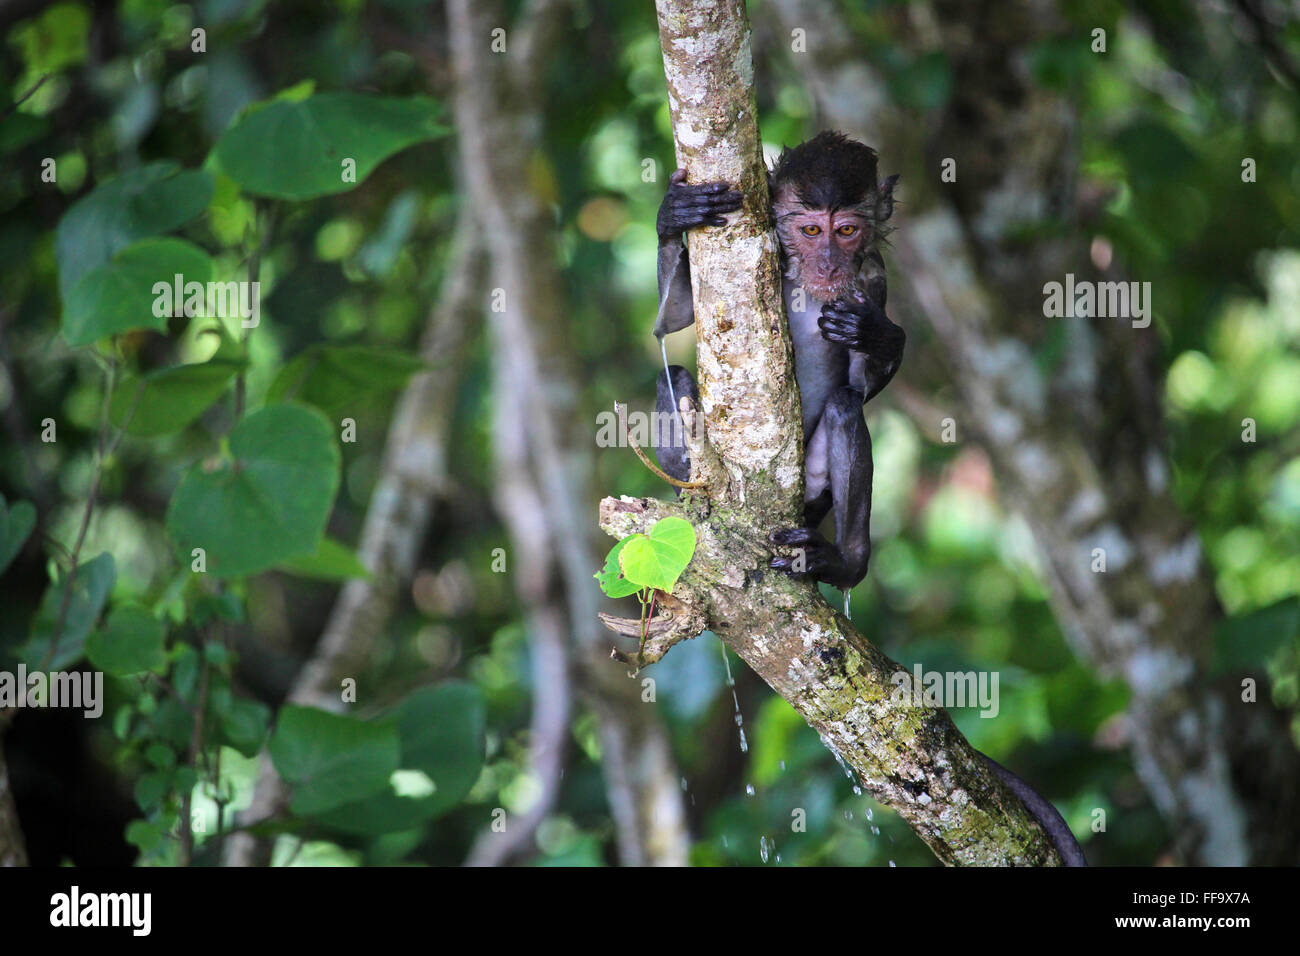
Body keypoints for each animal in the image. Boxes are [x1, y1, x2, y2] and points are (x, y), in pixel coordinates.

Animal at [650, 131, 1087, 867]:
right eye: (809, 231)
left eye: (848, 231)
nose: (830, 262)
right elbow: (673, 324)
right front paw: (673, 214)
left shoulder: (875, 275)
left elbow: (864, 378)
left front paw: (879, 338)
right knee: (678, 376)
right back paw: (688, 473)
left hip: (814, 496)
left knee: (845, 411)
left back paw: (842, 562)